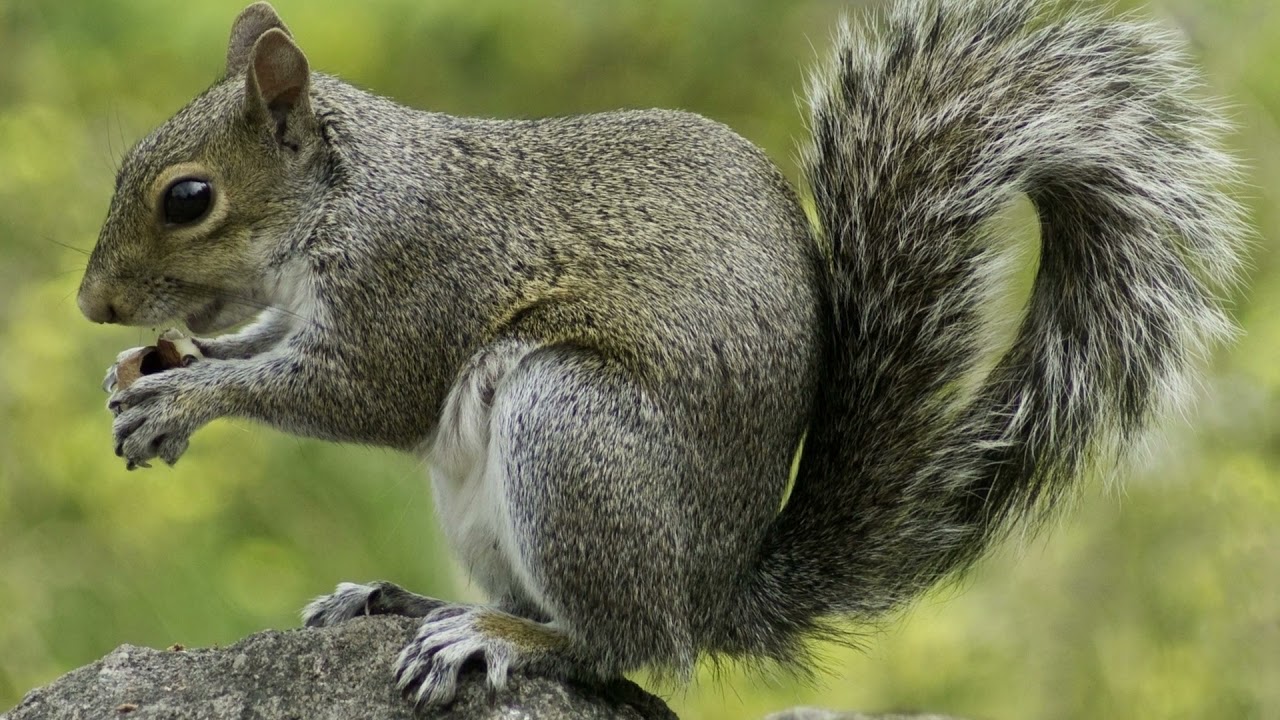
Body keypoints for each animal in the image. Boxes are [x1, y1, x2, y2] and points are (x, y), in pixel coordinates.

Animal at [76, 0, 1244, 708]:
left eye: (188, 198)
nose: (94, 304)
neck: (346, 195)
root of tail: (712, 590)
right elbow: (270, 341)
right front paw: (154, 367)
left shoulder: (417, 276)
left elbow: (359, 392)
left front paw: (184, 397)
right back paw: (404, 602)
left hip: (570, 431)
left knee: (621, 646)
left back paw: (496, 638)